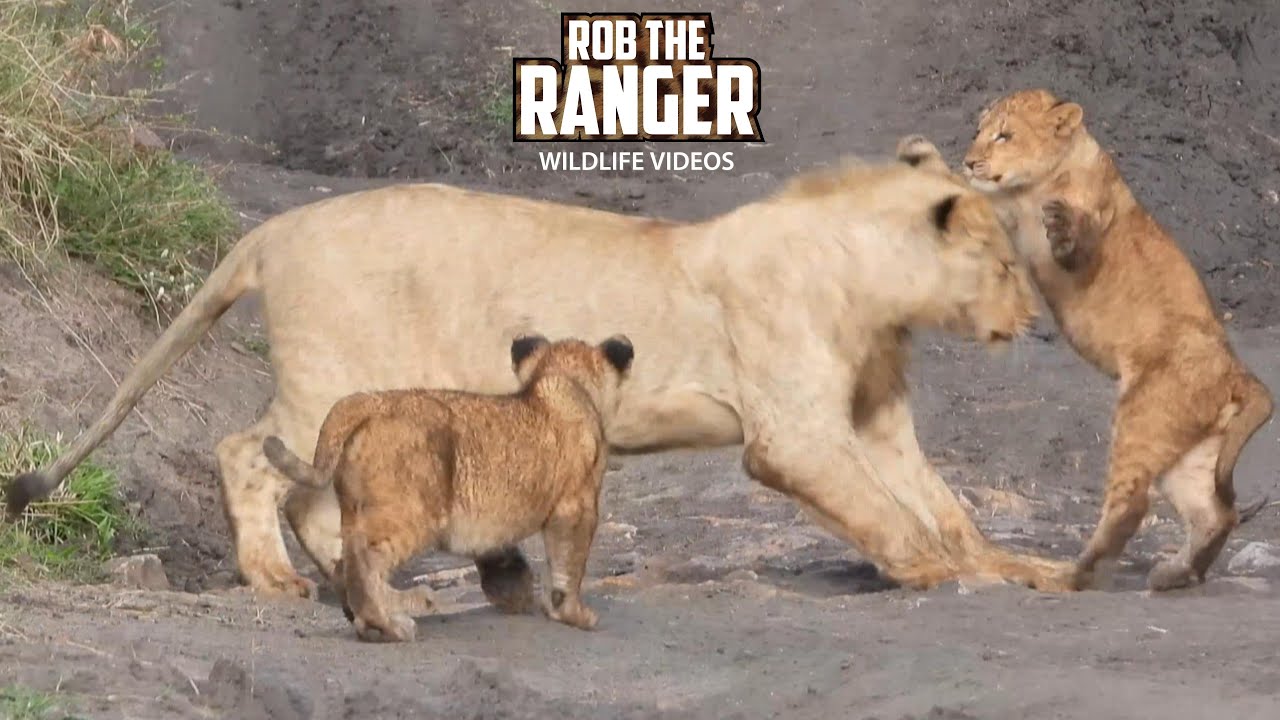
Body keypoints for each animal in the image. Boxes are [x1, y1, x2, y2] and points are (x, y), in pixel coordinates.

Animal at [5, 157, 1078, 599]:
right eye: (1005, 262)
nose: (1032, 322)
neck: (870, 276)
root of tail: (275, 228)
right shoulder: (796, 432)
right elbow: (890, 515)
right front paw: (929, 572)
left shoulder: (876, 416)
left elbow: (943, 504)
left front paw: (1019, 570)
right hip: (337, 374)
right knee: (248, 454)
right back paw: (276, 579)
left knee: (310, 486)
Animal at [261, 333, 633, 642]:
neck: (562, 379)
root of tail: (364, 402)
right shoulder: (576, 506)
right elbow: (569, 564)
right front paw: (573, 614)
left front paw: (513, 591)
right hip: (412, 513)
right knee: (364, 561)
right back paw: (392, 624)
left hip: (354, 509)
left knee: (343, 562)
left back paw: (373, 620)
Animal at [918, 88, 1274, 590]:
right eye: (978, 131)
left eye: (1005, 135)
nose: (971, 160)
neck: (1029, 188)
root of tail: (1238, 370)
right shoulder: (1001, 210)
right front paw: (931, 164)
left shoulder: (1086, 236)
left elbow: (1077, 237)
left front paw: (1062, 223)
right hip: (1189, 451)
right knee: (1216, 512)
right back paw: (1175, 575)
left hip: (1143, 417)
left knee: (1132, 505)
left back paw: (1077, 574)